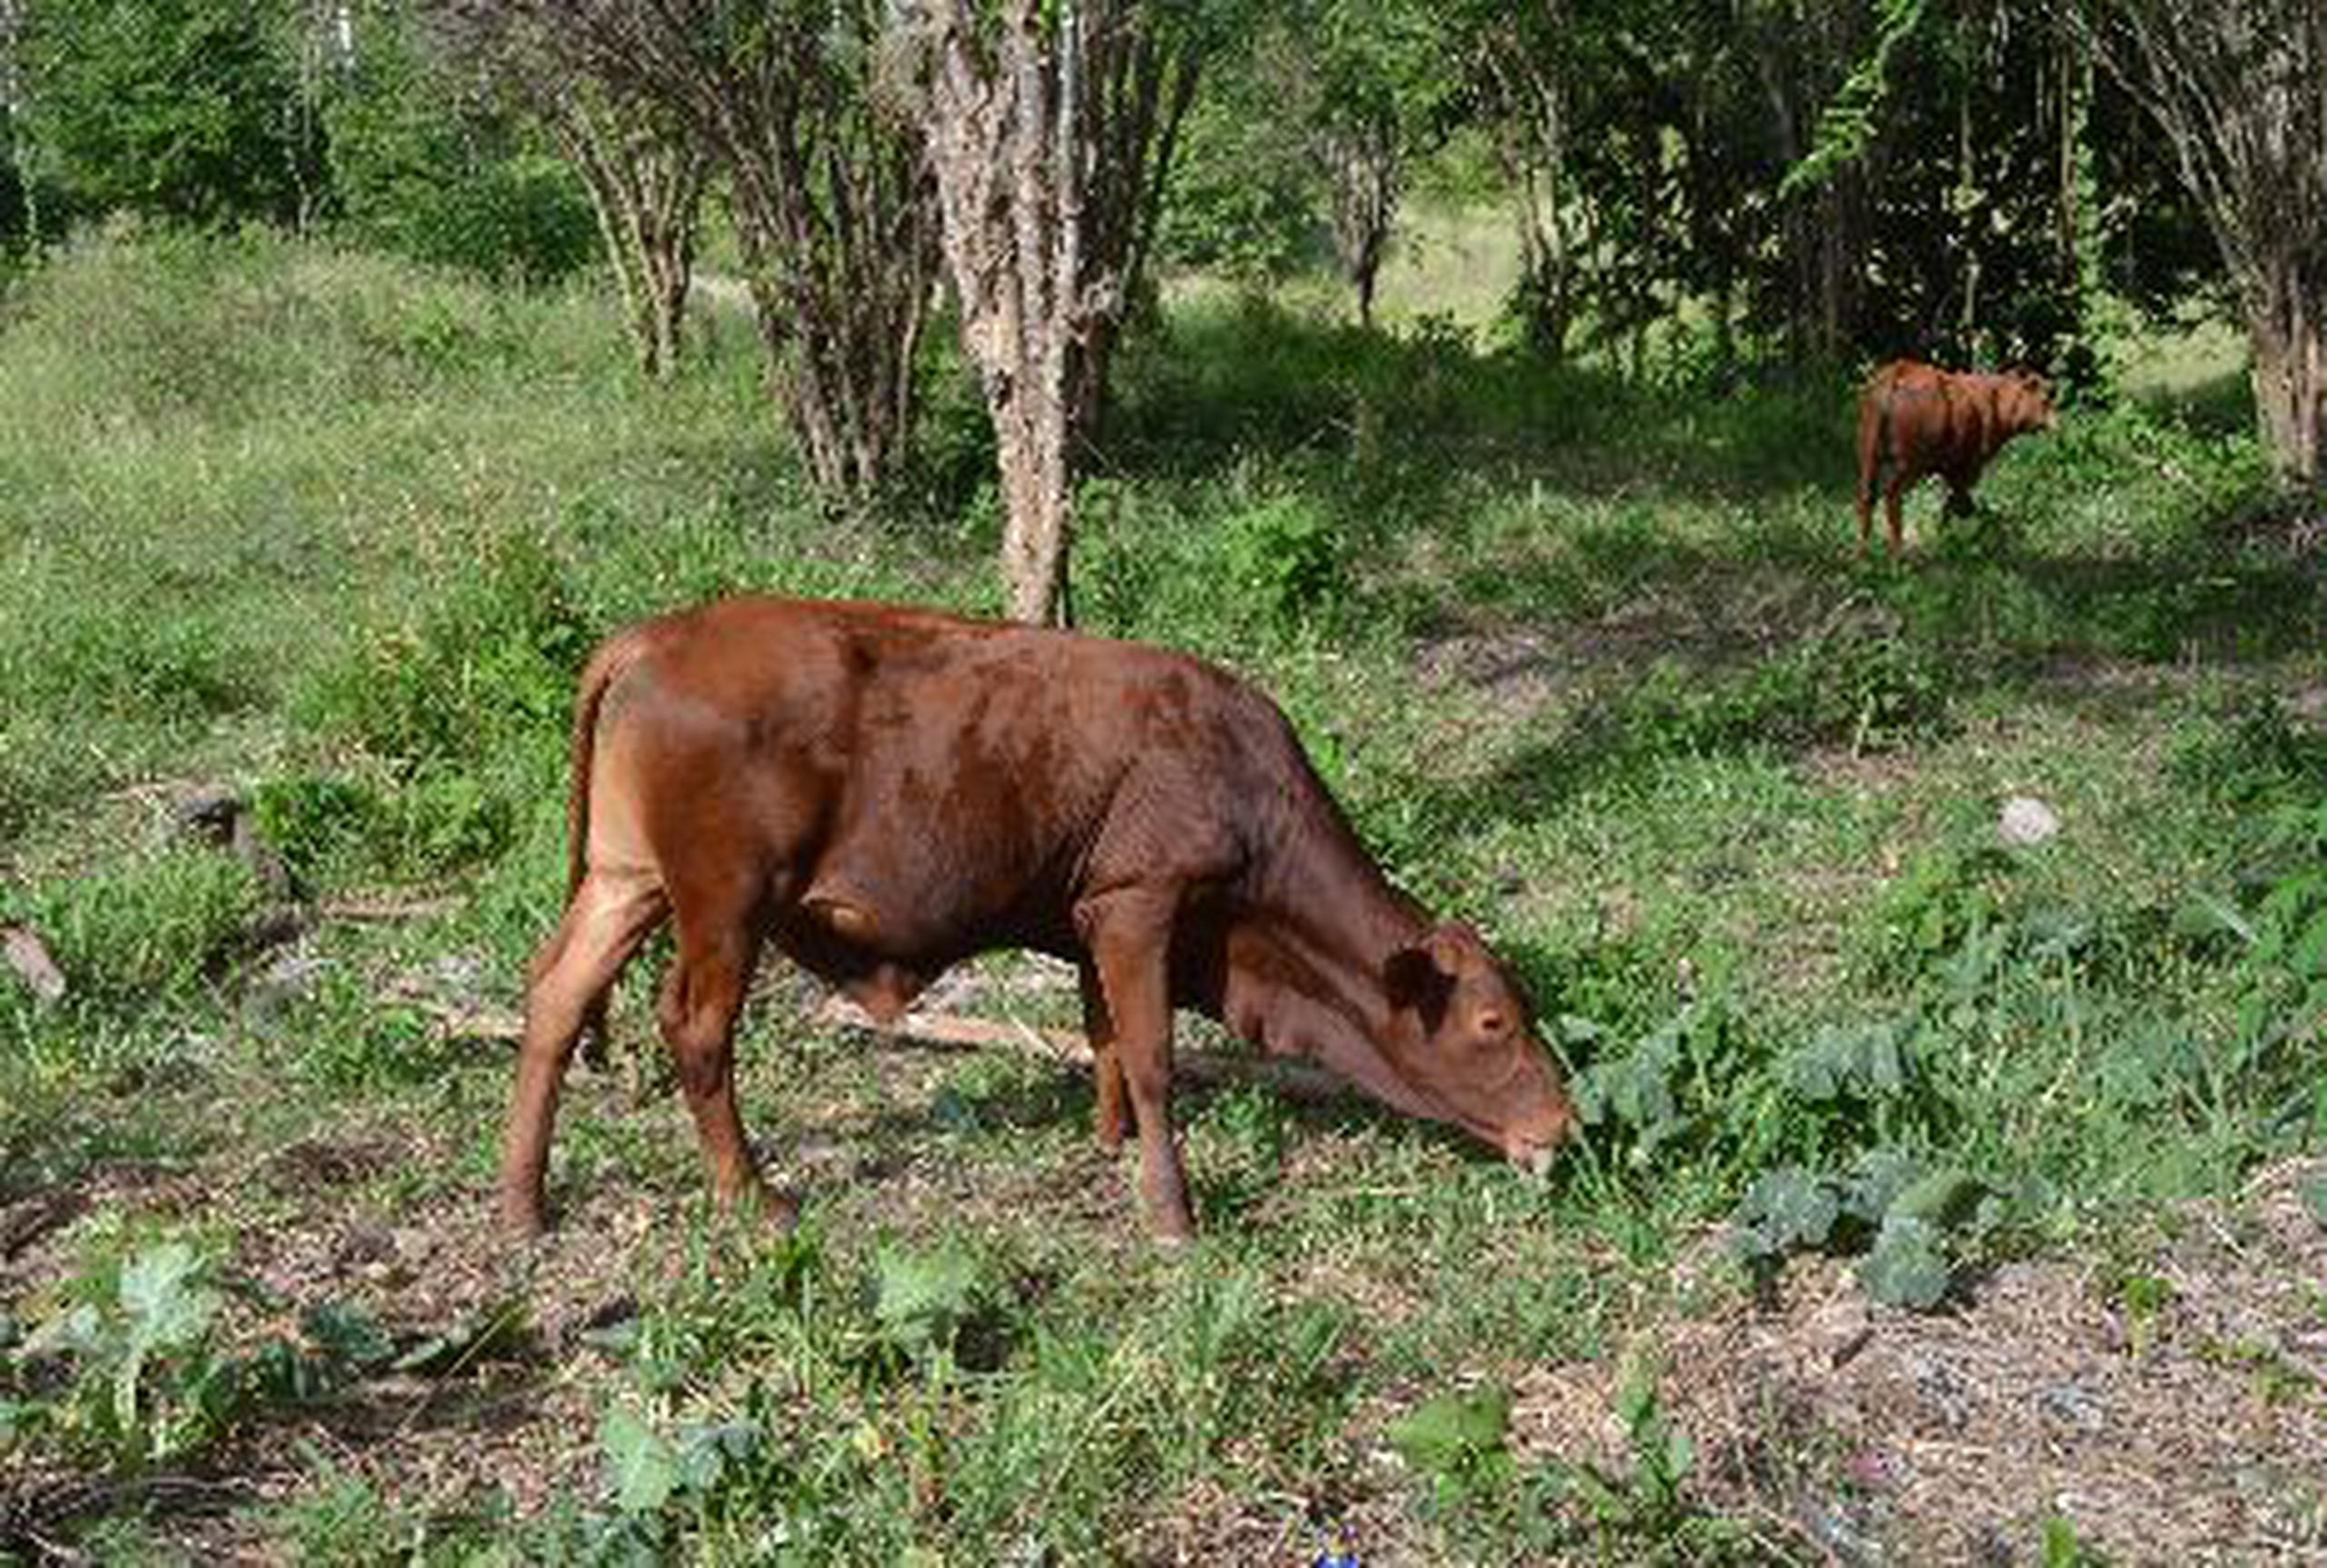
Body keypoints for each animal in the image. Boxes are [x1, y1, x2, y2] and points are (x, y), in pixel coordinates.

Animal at [499, 597, 1576, 1242]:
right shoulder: (1141, 901)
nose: (1561, 1119)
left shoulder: (1089, 915)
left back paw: (524, 1198)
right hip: (727, 906)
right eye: (1492, 1022)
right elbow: (1151, 1054)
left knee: (554, 995)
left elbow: (1104, 1037)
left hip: (626, 882)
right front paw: (1171, 1209)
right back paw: (751, 1193)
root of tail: (659, 635)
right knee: (696, 1028)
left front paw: (1108, 1144)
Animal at [1855, 360, 2055, 554]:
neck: (1996, 402)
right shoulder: (1968, 465)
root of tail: (1899, 371)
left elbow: (1952, 504)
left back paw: (1861, 553)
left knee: (1866, 496)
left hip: (1868, 453)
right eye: (2045, 400)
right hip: (1909, 463)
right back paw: (1897, 553)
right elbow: (1960, 503)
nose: (2056, 422)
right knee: (1892, 497)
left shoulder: (1950, 467)